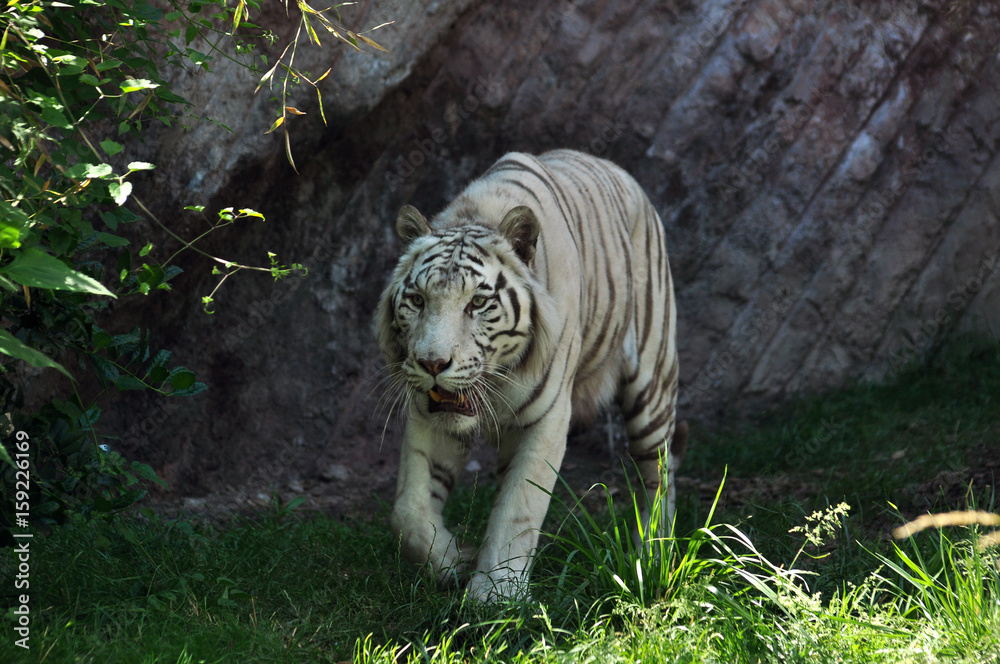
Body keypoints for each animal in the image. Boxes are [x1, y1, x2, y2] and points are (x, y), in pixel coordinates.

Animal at [376, 149, 687, 602]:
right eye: (416, 300)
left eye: (478, 302)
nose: (432, 363)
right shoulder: (428, 413)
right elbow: (408, 511)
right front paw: (452, 561)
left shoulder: (548, 417)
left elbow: (519, 506)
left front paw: (495, 594)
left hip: (652, 378)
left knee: (659, 474)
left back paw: (652, 552)